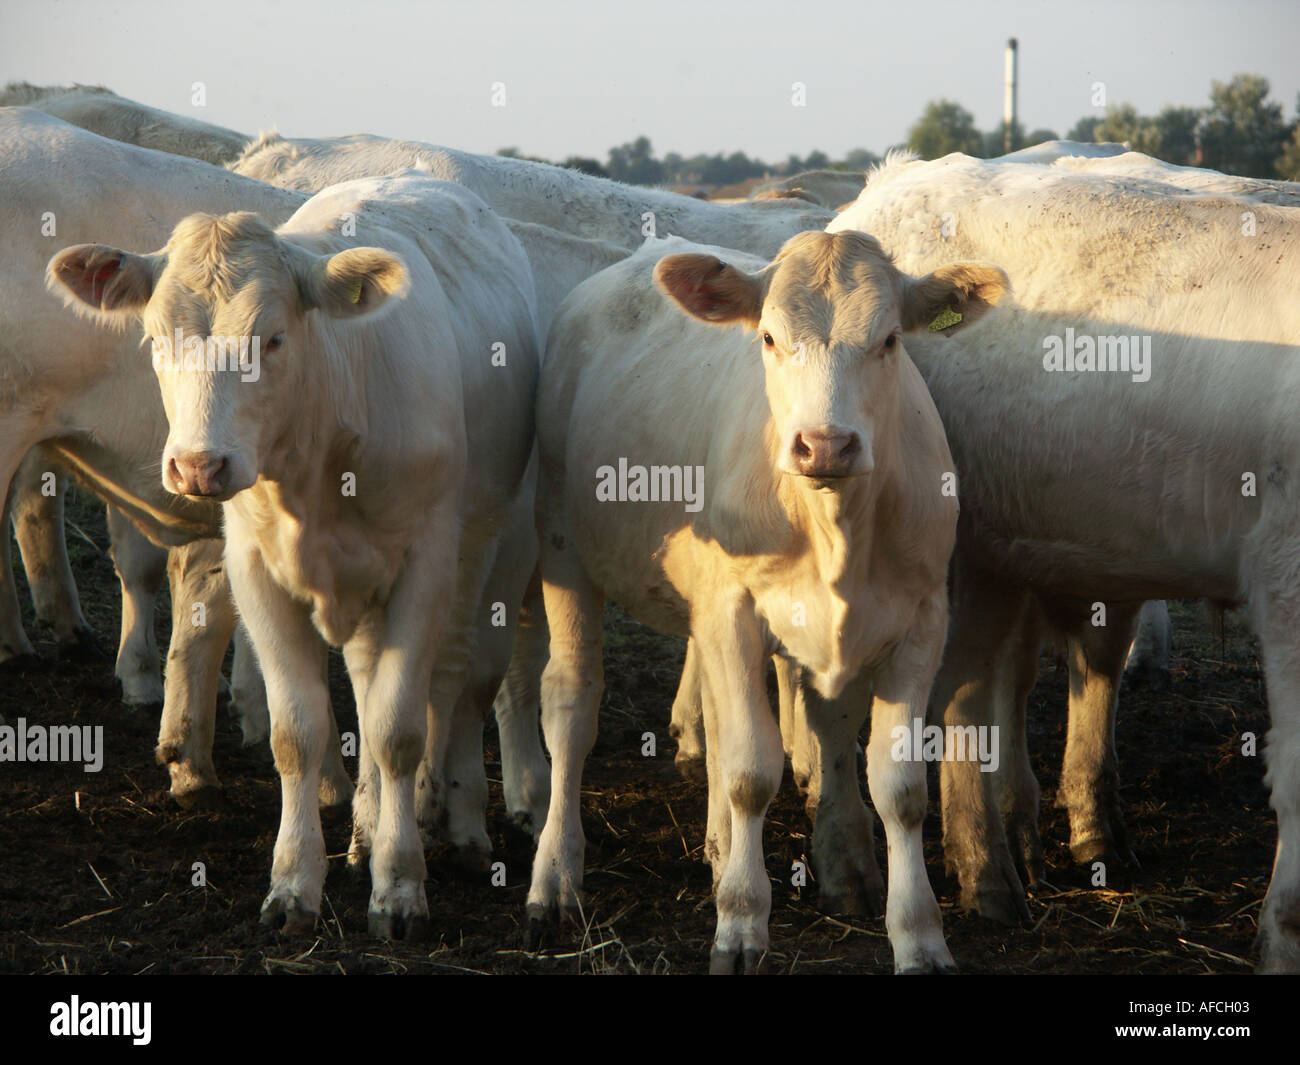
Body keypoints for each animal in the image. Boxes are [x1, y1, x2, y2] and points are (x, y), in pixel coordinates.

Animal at [530, 229, 1008, 972]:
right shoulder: (734, 610)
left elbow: (897, 788)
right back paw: (555, 875)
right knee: (572, 702)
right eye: (769, 337)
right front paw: (741, 922)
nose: (826, 444)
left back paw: (723, 847)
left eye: (891, 339)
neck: (835, 526)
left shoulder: (920, 619)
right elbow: (751, 772)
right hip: (563, 545)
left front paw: (918, 932)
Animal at [827, 150, 1300, 972]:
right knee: (952, 696)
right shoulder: (1285, 582)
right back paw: (967, 869)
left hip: (1006, 555)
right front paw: (1280, 937)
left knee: (986, 683)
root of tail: (895, 176)